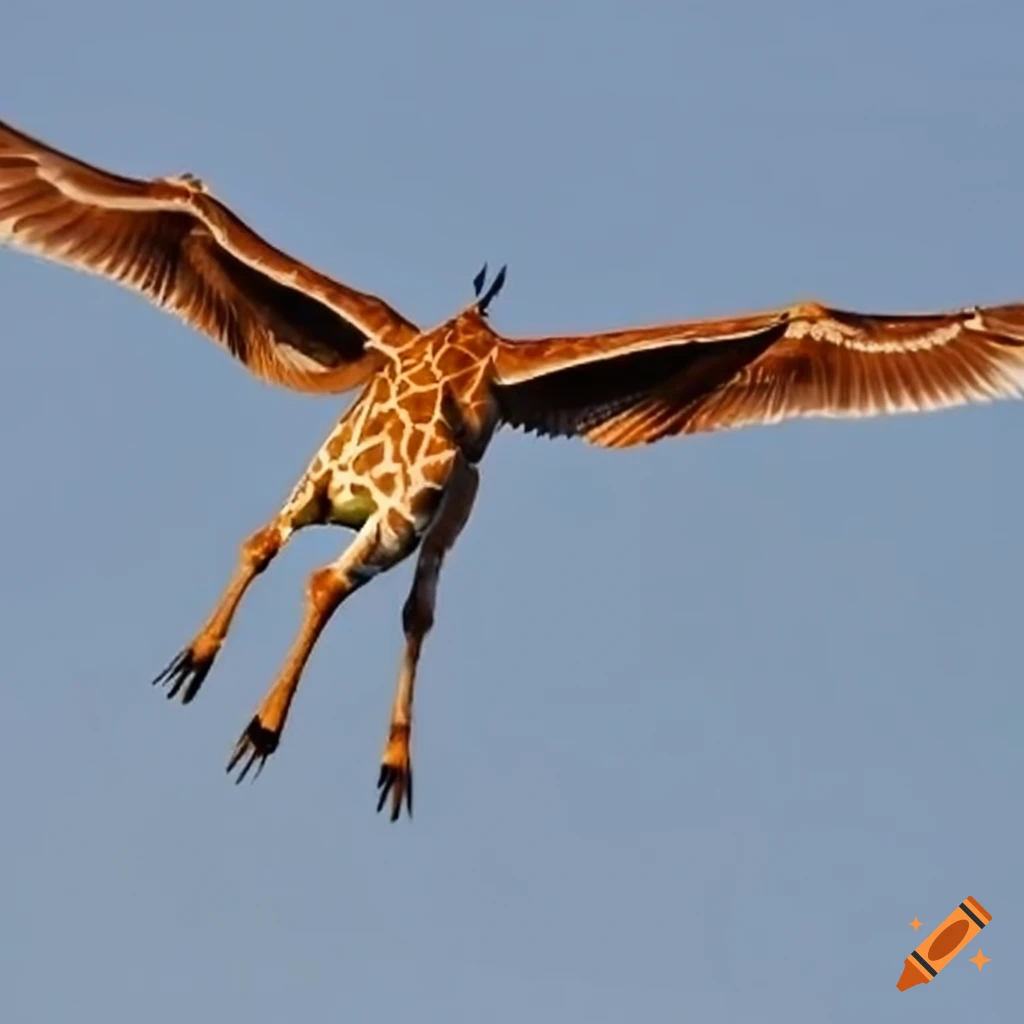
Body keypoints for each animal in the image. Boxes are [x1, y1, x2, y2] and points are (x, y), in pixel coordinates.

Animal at [5, 115, 1024, 821]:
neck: (468, 347)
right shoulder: (442, 494)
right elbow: (406, 607)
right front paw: (367, 757)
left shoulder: (429, 486)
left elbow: (393, 603)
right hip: (399, 502)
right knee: (326, 577)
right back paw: (259, 724)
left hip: (346, 480)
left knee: (275, 544)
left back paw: (204, 667)